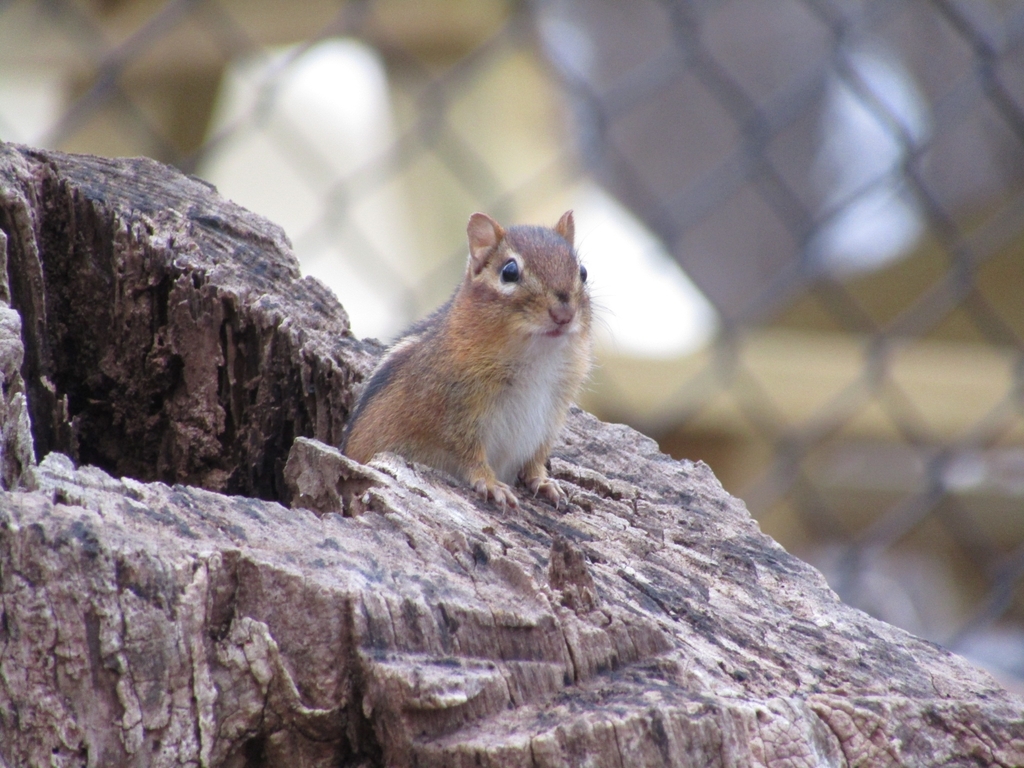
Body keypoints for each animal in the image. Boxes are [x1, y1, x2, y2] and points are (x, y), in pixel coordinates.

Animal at [342, 211, 592, 509]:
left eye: (583, 272)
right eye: (509, 272)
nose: (563, 314)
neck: (538, 358)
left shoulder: (551, 416)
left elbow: (536, 457)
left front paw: (543, 482)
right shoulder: (453, 411)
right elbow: (468, 453)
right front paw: (491, 483)